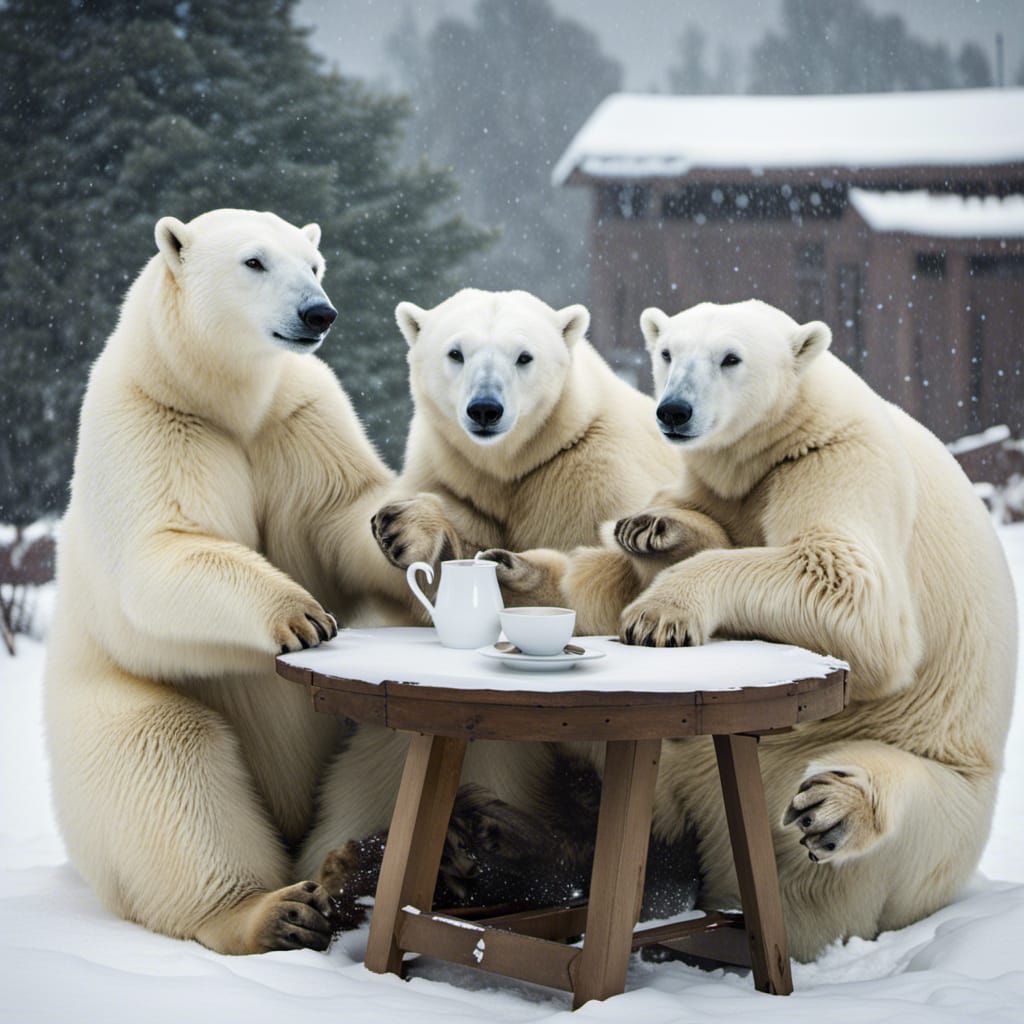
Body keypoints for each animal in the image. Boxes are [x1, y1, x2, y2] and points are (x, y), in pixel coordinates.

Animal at [44, 209, 416, 955]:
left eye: (315, 264)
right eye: (254, 261)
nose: (318, 312)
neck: (224, 401)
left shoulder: (301, 418)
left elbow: (346, 507)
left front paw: (417, 531)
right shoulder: (153, 426)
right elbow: (164, 551)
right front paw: (301, 616)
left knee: (387, 749)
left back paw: (343, 869)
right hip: (108, 703)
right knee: (164, 758)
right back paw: (274, 909)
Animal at [298, 287, 700, 902]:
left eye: (524, 356)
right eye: (456, 352)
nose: (484, 409)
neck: (512, 469)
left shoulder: (590, 473)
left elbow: (613, 579)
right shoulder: (454, 481)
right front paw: (405, 530)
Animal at [489, 298, 1017, 960]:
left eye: (730, 357)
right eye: (668, 352)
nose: (674, 410)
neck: (776, 442)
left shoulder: (837, 462)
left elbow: (850, 591)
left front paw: (661, 614)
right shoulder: (706, 485)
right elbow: (621, 567)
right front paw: (635, 536)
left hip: (933, 807)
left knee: (875, 817)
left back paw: (830, 811)